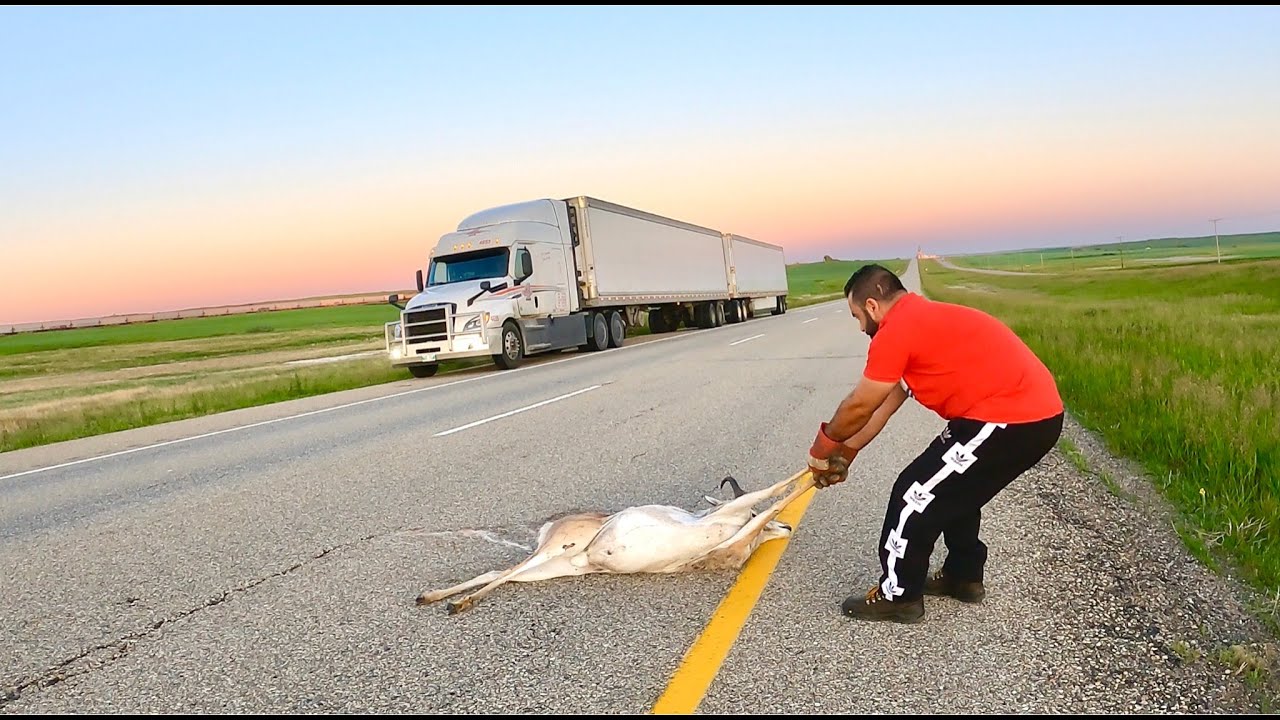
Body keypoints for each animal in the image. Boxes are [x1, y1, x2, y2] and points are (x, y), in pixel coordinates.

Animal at [416, 469, 816, 614]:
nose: (788, 529)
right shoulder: (737, 516)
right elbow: (774, 492)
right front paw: (817, 472)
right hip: (550, 553)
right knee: (502, 574)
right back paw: (453, 602)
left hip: (553, 568)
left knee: (500, 574)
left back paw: (436, 598)